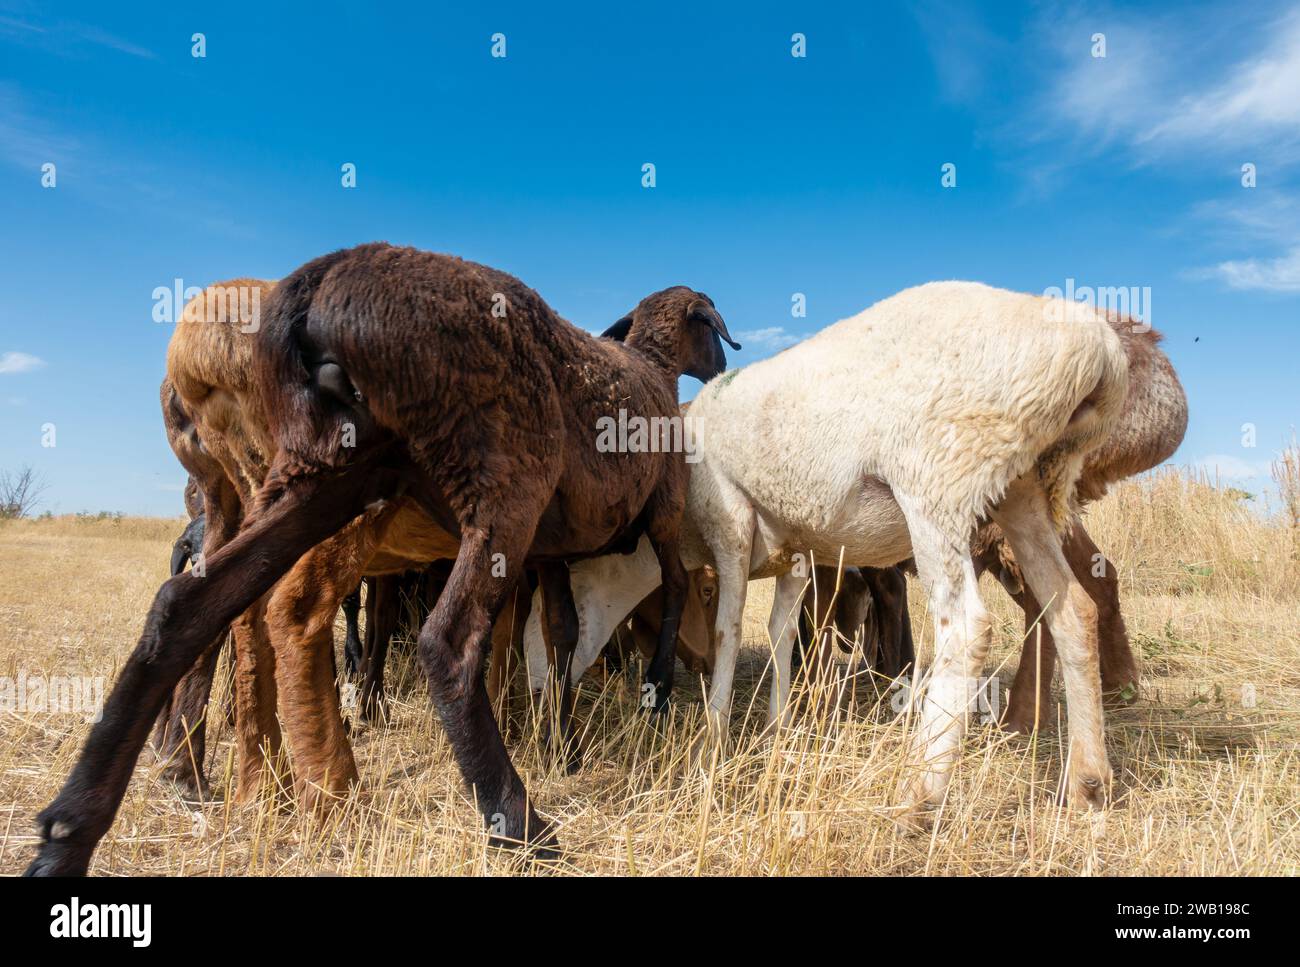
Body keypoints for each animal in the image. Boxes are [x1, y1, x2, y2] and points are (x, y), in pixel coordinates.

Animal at [26, 242, 736, 874]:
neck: (650, 365)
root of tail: (315, 286)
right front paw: (653, 692)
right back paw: (514, 828)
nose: (720, 372)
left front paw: (565, 739)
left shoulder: (554, 549)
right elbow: (670, 589)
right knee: (438, 641)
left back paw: (86, 824)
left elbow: (561, 631)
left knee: (188, 608)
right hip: (500, 485)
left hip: (323, 473)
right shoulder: (660, 509)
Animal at [523, 281, 1129, 814]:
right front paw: (777, 727)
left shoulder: (730, 521)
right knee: (1073, 609)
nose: (533, 695)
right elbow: (782, 632)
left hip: (937, 484)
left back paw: (920, 792)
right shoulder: (793, 550)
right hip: (1022, 493)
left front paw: (713, 739)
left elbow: (727, 630)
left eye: (549, 620)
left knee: (967, 626)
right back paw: (1088, 783)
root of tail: (1098, 348)